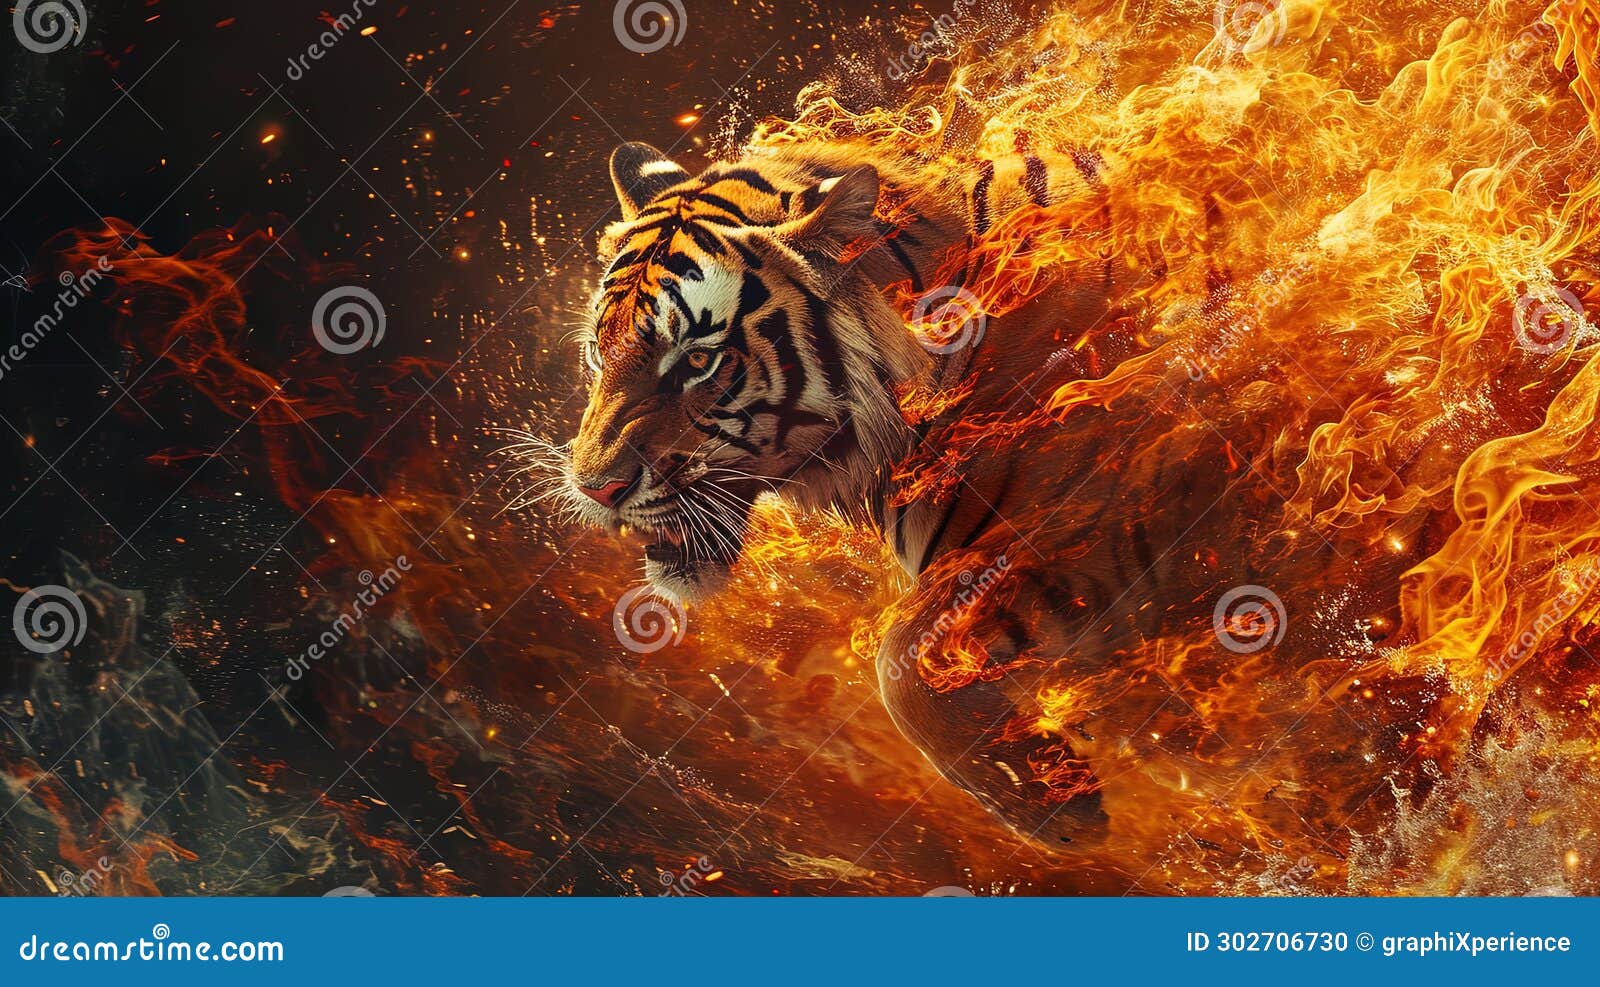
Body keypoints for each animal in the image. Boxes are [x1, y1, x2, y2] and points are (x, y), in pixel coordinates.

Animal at [557, 137, 1432, 877]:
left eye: (698, 360)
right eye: (603, 348)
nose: (595, 487)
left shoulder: (1092, 518)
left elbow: (899, 661)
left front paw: (1056, 809)